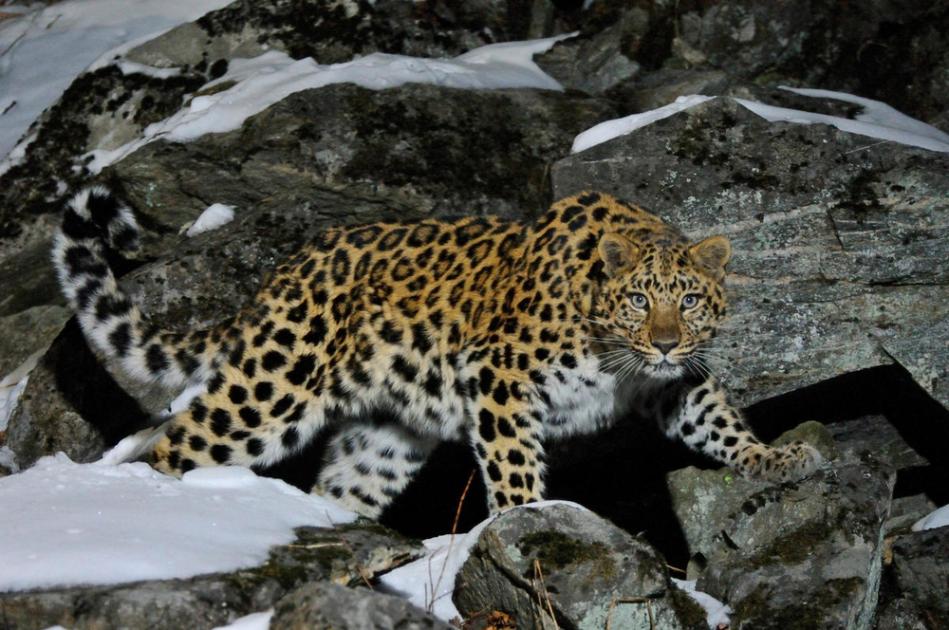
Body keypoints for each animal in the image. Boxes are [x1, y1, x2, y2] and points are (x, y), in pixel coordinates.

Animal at [53, 187, 822, 517]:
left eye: (688, 302)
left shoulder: (673, 383)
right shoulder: (499, 374)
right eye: (638, 299)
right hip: (271, 391)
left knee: (340, 488)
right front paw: (527, 520)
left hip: (384, 439)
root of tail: (278, 276)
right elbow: (513, 465)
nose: (663, 340)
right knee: (174, 442)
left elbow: (718, 422)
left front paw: (776, 457)